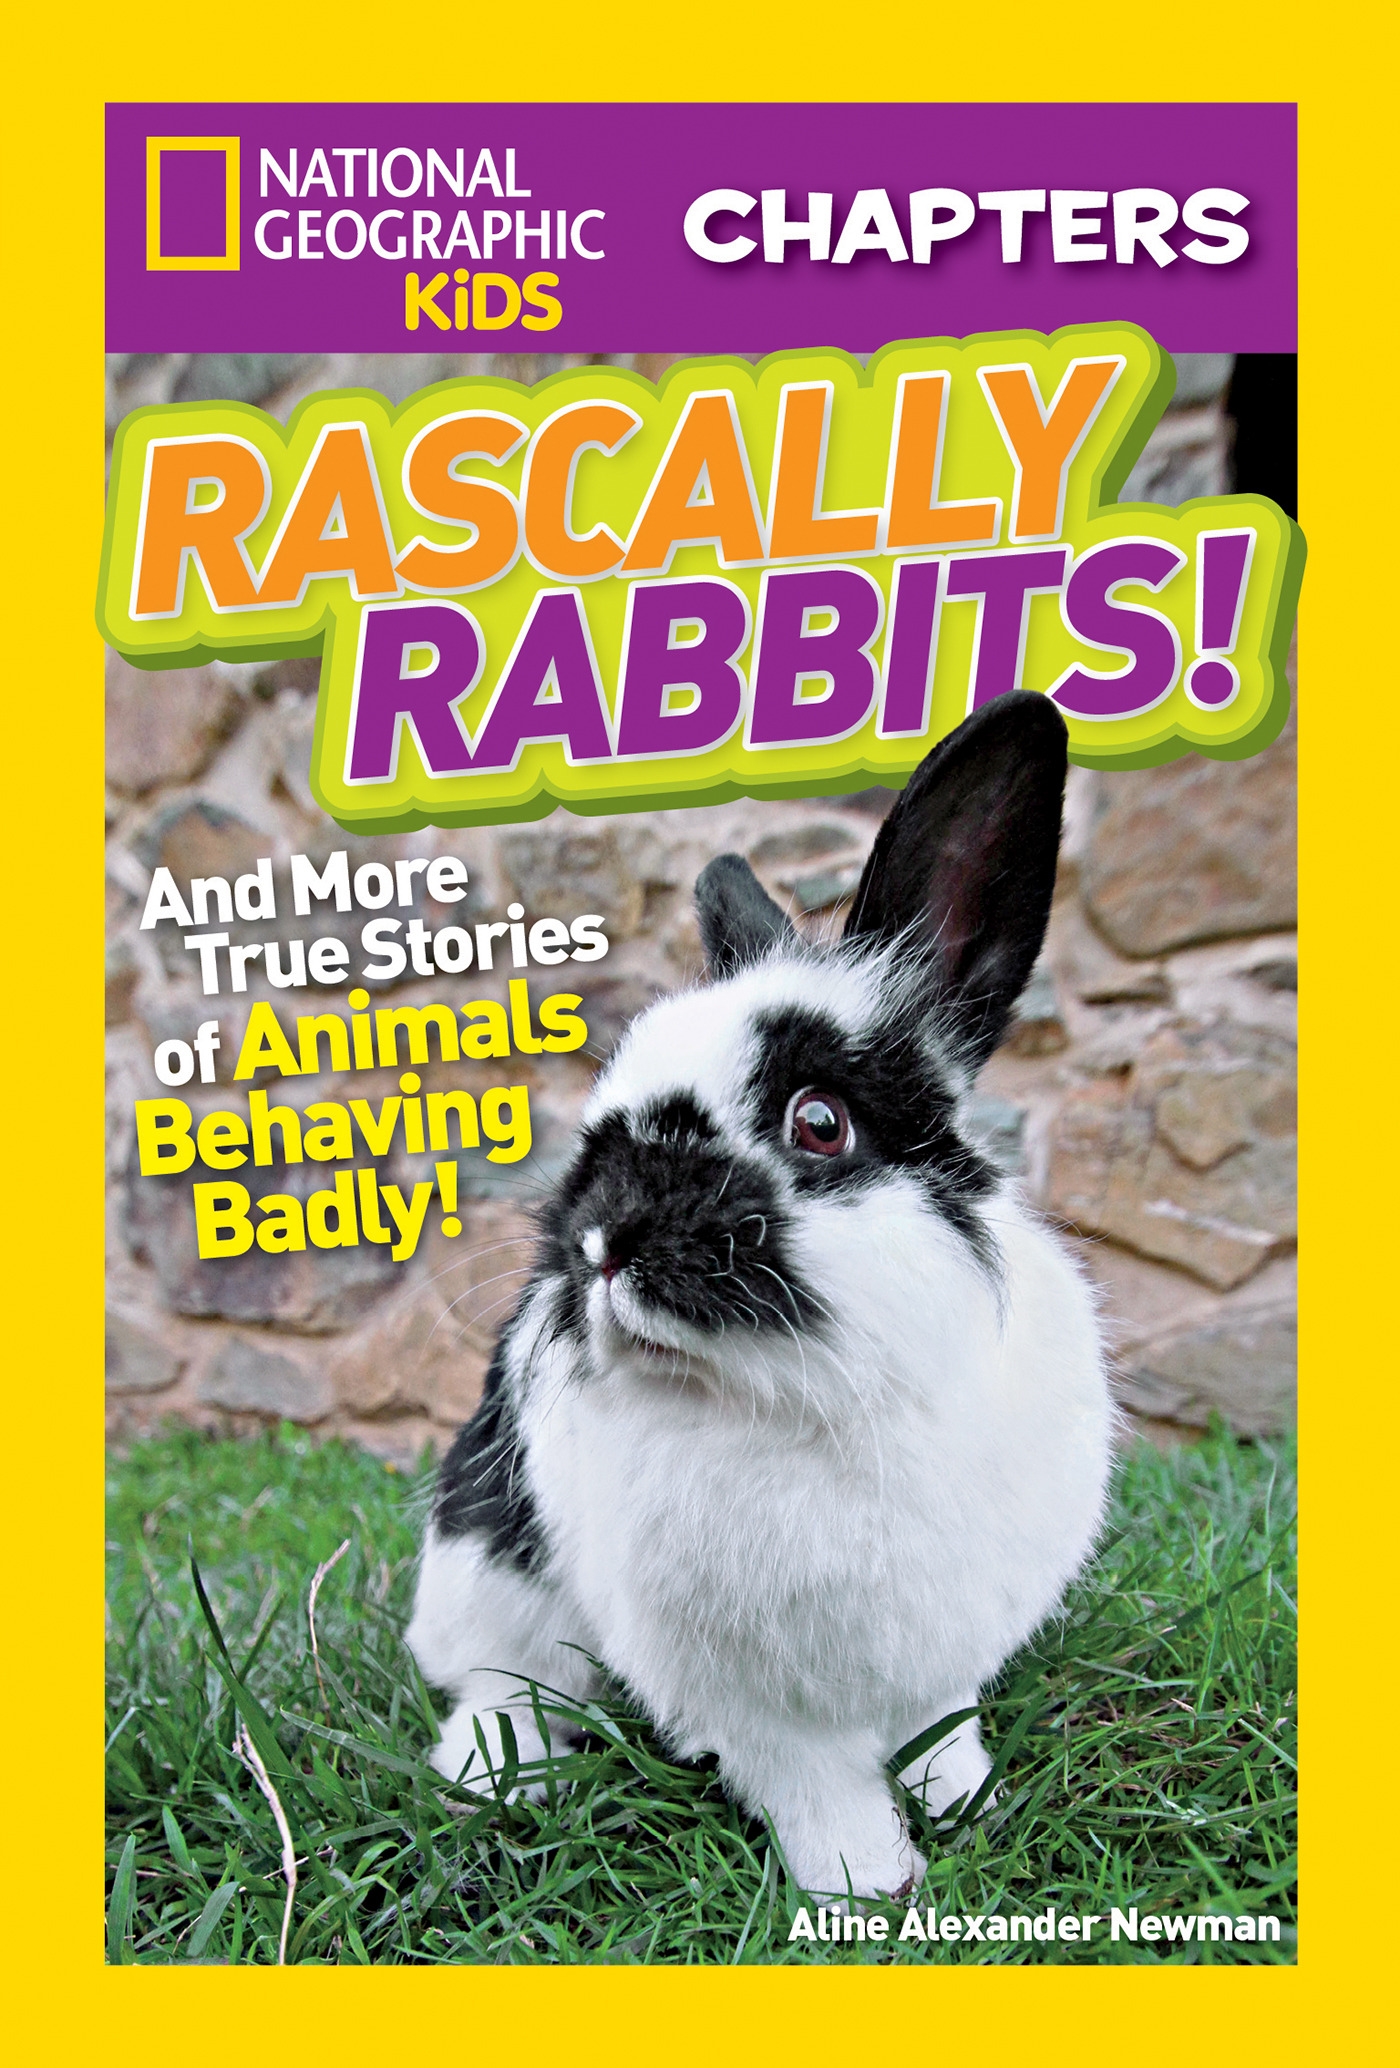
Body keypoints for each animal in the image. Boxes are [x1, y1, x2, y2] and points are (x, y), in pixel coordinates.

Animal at [406, 689, 1112, 1900]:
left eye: (818, 1122)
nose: (599, 1237)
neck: (817, 1397)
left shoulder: (943, 1645)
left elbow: (943, 1727)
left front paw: (965, 1803)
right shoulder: (754, 1700)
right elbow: (818, 1786)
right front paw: (866, 1887)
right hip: (481, 1566)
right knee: (493, 1681)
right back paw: (495, 1773)